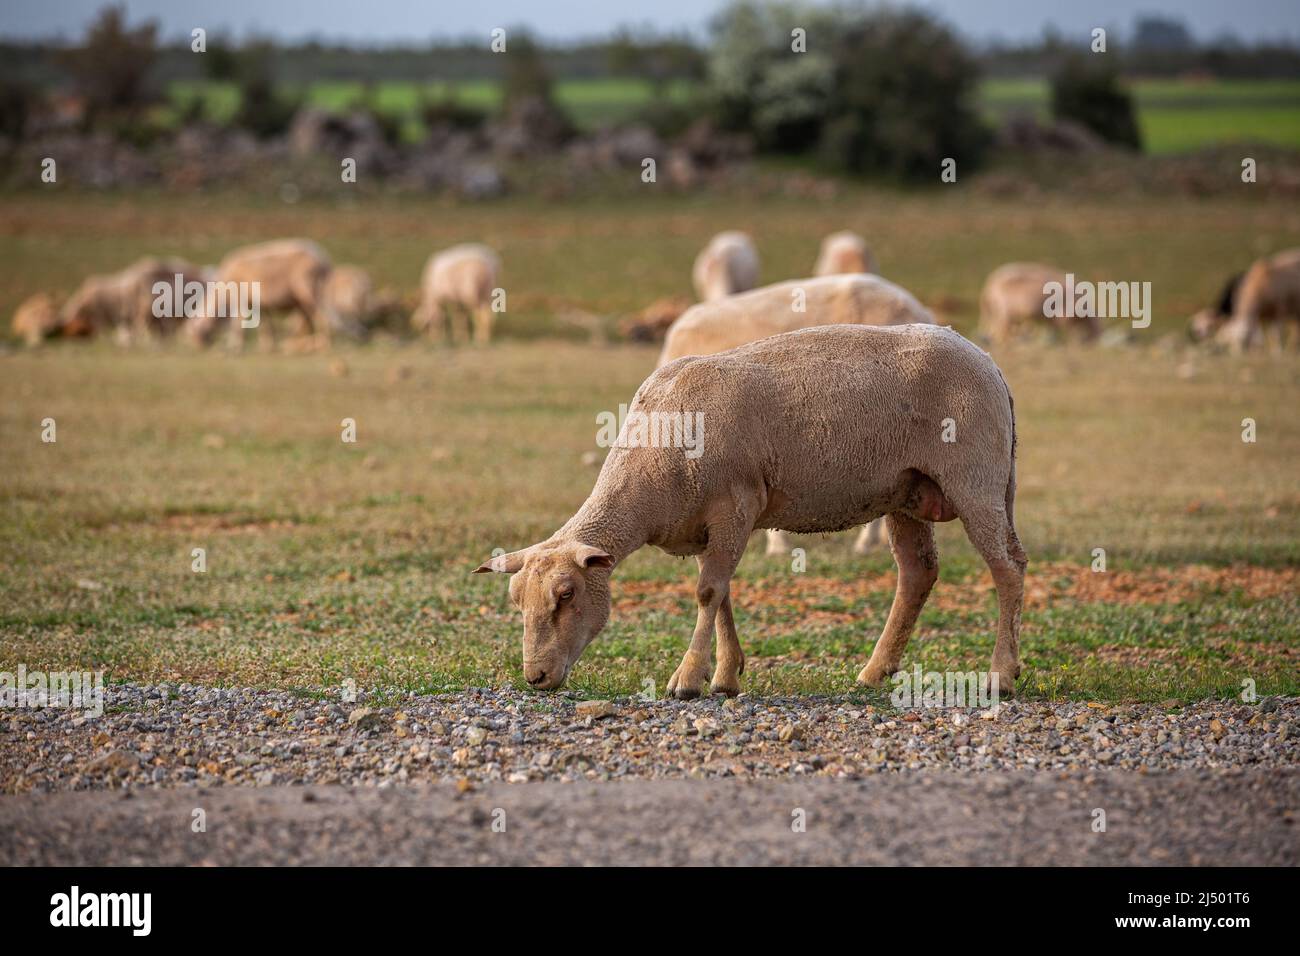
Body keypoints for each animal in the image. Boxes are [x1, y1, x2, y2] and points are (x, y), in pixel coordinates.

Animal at [186, 239, 336, 350]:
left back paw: (323, 345)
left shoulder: (240, 296)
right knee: (307, 320)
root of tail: (325, 260)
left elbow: (238, 323)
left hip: (309, 288)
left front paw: (236, 347)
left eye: (196, 336)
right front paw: (268, 346)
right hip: (302, 298)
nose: (200, 348)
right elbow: (266, 324)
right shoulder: (261, 303)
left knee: (321, 317)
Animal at [475, 323, 1026, 700]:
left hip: (975, 476)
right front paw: (724, 676)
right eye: (516, 600)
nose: (535, 677)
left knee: (1008, 568)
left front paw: (688, 679)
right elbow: (722, 596)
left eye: (567, 595)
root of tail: (990, 364)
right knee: (918, 572)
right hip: (908, 489)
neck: (650, 466)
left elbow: (707, 593)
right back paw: (874, 672)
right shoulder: (708, 524)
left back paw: (1001, 674)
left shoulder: (735, 504)